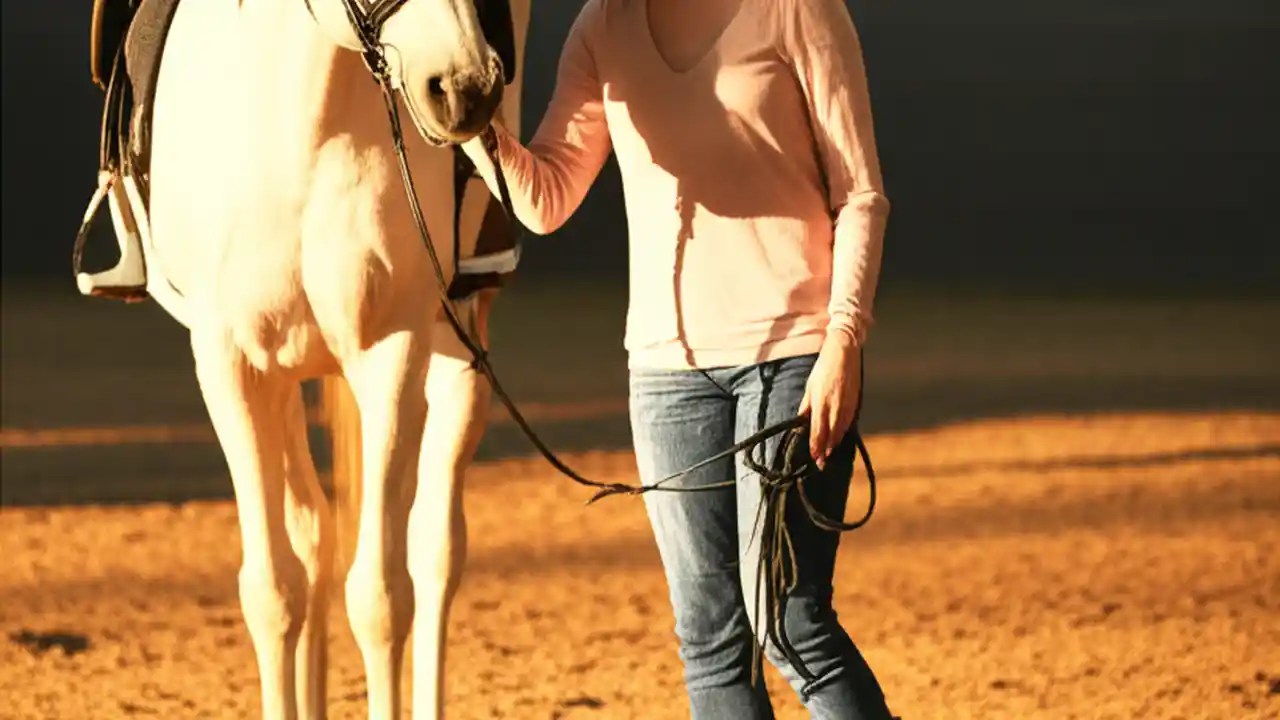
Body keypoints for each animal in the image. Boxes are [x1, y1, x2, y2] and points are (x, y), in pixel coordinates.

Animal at [84, 0, 529, 716]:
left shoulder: (391, 354)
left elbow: (381, 598)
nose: (466, 87)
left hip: (461, 351)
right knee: (315, 533)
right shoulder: (235, 367)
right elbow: (274, 590)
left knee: (435, 551)